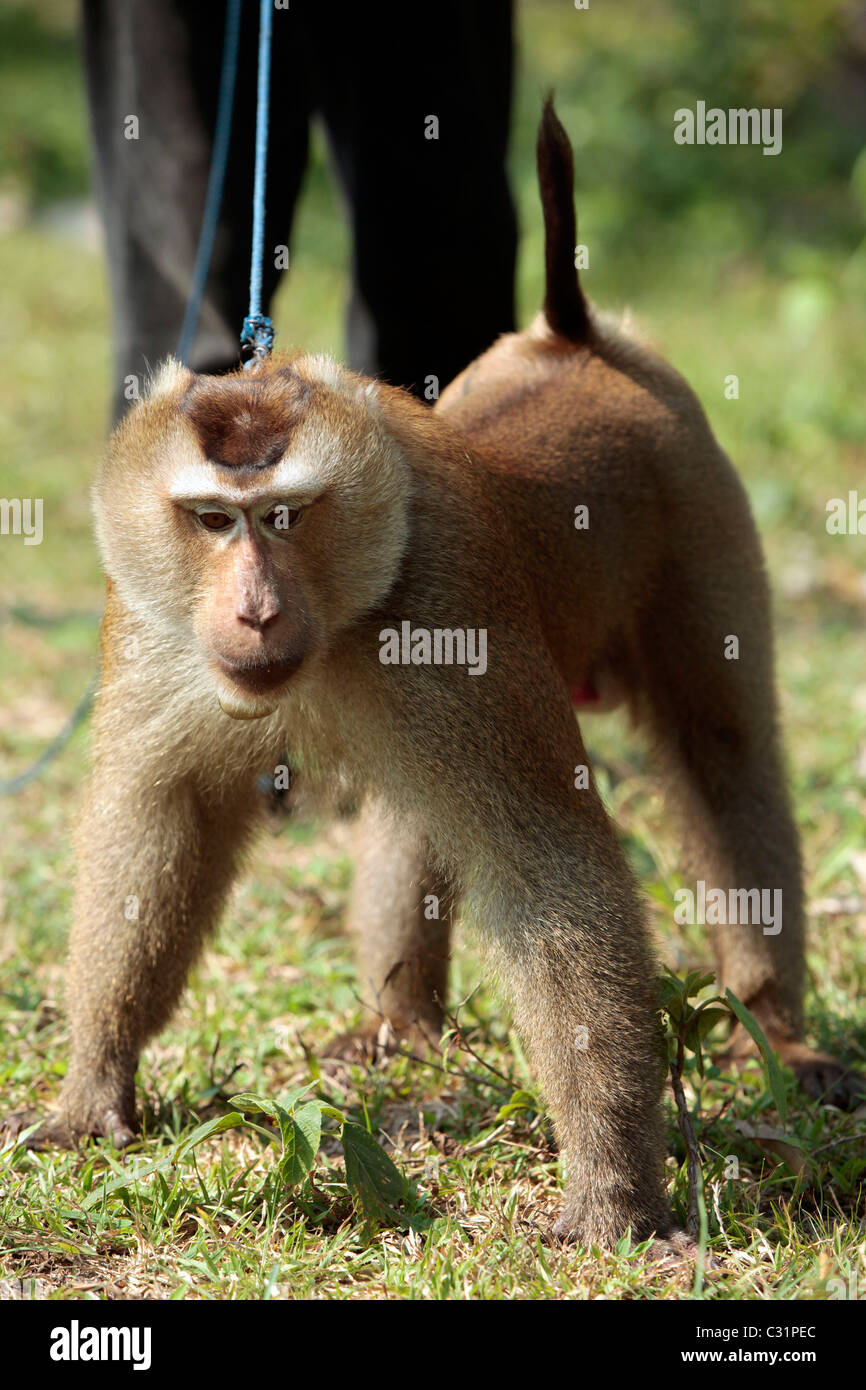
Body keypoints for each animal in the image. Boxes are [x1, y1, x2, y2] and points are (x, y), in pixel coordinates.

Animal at [8, 100, 861, 1253]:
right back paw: (401, 1029)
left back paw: (773, 1029)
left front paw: (612, 1190)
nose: (254, 609)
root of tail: (571, 339)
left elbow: (548, 863)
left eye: (285, 515)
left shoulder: (451, 602)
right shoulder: (148, 621)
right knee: (416, 808)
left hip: (699, 506)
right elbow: (160, 816)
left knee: (721, 745)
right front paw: (94, 1085)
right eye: (213, 519)